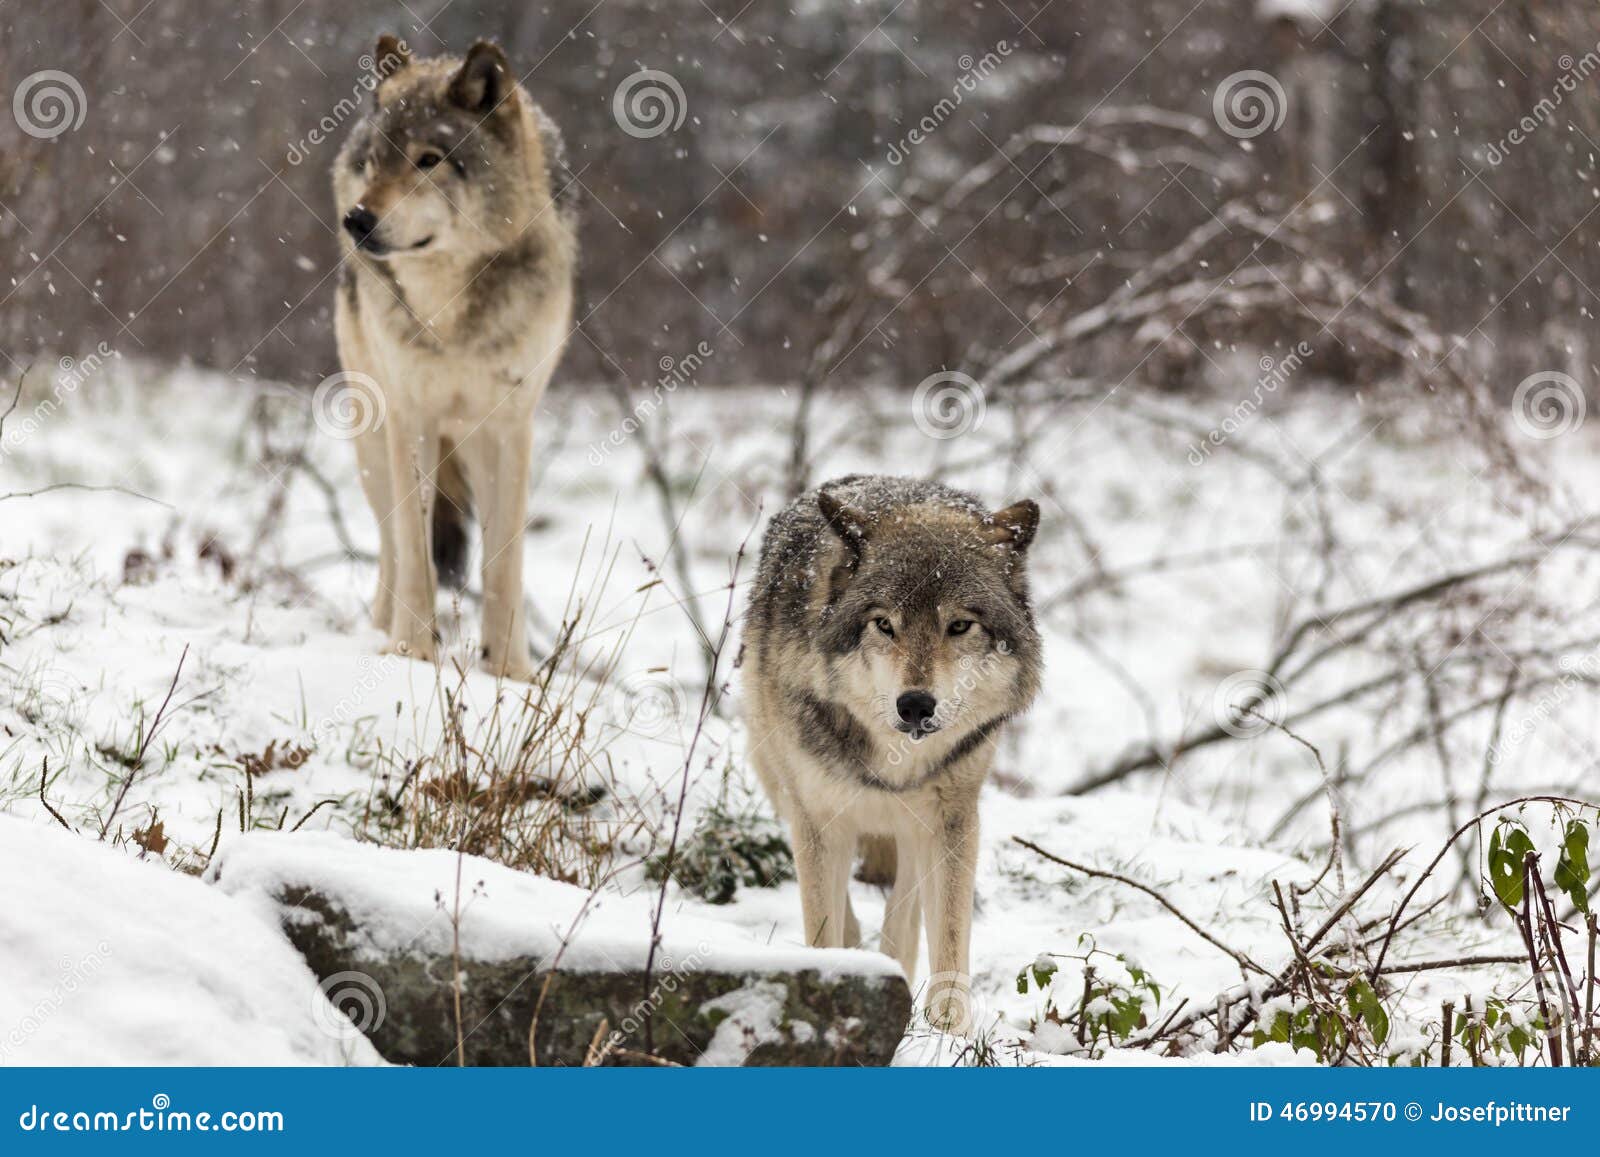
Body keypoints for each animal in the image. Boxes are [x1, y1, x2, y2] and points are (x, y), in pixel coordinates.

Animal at [332, 36, 577, 679]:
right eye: (376, 161)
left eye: (428, 158)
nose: (358, 219)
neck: (448, 316)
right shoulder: (412, 417)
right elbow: (415, 552)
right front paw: (411, 653)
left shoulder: (510, 428)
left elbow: (504, 563)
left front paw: (509, 672)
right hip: (373, 443)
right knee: (391, 545)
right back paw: (380, 626)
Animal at [742, 474, 1042, 1032]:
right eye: (884, 624)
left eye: (959, 626)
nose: (916, 704)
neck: (895, 761)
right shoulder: (819, 818)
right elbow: (823, 924)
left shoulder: (952, 819)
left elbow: (948, 938)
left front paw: (947, 1031)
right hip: (781, 785)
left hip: (914, 829)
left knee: (903, 914)